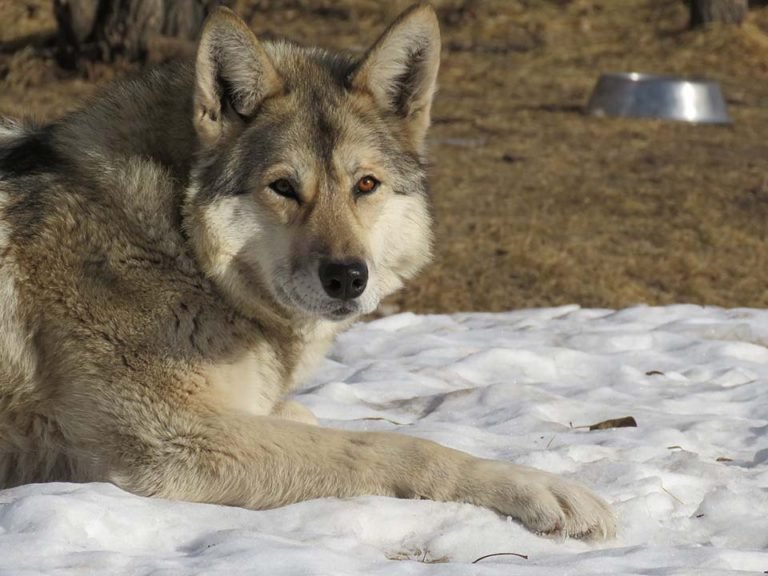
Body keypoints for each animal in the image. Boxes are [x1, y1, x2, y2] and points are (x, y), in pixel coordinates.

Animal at [0, 3, 615, 539]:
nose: (347, 277)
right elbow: (396, 447)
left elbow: (307, 415)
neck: (174, 243)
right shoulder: (177, 444)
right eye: (283, 187)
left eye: (365, 184)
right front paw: (544, 489)